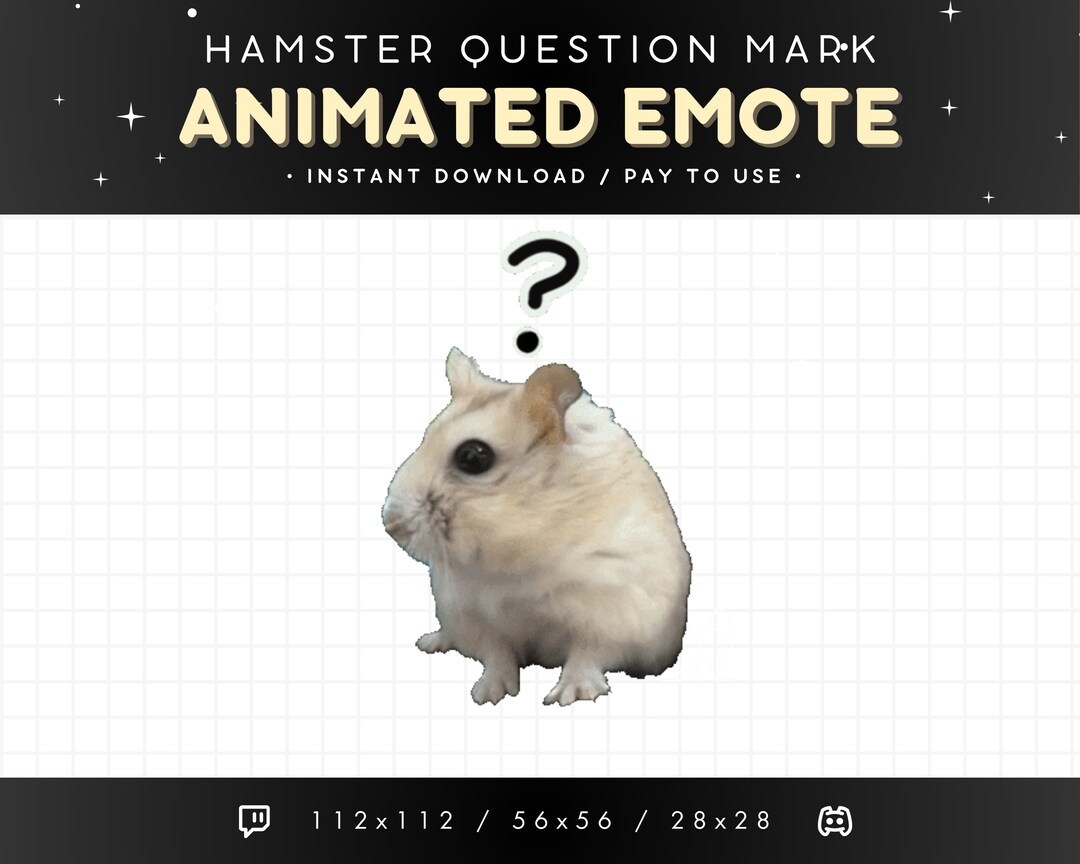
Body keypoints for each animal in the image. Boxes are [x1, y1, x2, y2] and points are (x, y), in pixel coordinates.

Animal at [382, 348, 691, 706]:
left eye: (473, 457)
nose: (391, 526)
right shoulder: (471, 612)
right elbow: (497, 653)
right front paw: (488, 695)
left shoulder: (613, 609)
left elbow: (588, 653)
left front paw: (567, 697)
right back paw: (431, 641)